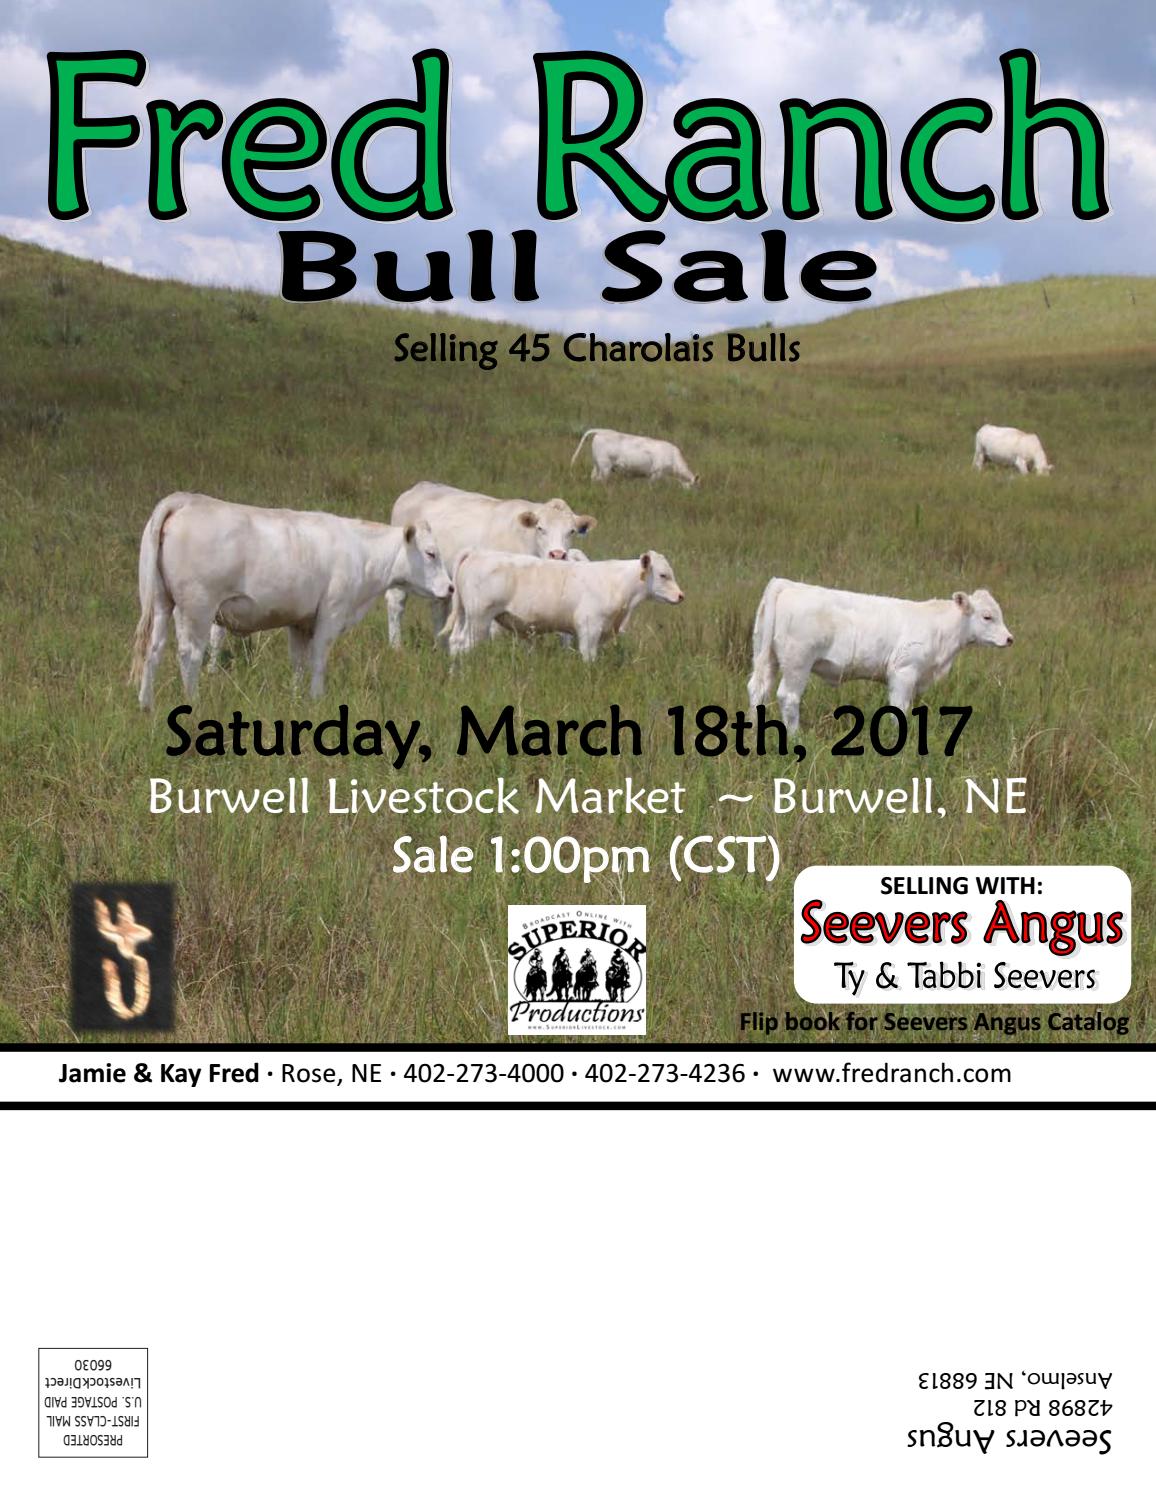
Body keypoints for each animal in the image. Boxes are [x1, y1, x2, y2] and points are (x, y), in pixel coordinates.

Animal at [130, 491, 451, 708]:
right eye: (431, 553)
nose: (450, 588)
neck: (360, 551)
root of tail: (186, 500)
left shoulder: (299, 622)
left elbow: (298, 662)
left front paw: (298, 699)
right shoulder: (332, 613)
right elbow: (318, 659)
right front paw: (317, 698)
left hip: (162, 603)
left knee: (153, 650)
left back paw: (146, 705)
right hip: (197, 607)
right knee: (189, 654)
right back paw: (193, 703)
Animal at [385, 481, 597, 646]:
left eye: (571, 531)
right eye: (540, 528)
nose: (557, 554)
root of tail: (417, 488)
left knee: (439, 608)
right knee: (396, 604)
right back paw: (397, 647)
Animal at [442, 550, 685, 661]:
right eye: (663, 575)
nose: (681, 596)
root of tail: (477, 552)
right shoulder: (589, 629)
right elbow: (589, 658)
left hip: (465, 615)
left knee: (454, 643)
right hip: (479, 619)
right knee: (464, 646)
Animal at [747, 578, 1014, 730]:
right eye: (987, 616)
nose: (1009, 638)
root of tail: (788, 584)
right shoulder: (904, 672)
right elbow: (899, 708)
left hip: (766, 656)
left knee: (758, 690)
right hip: (798, 662)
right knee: (788, 697)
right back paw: (795, 737)